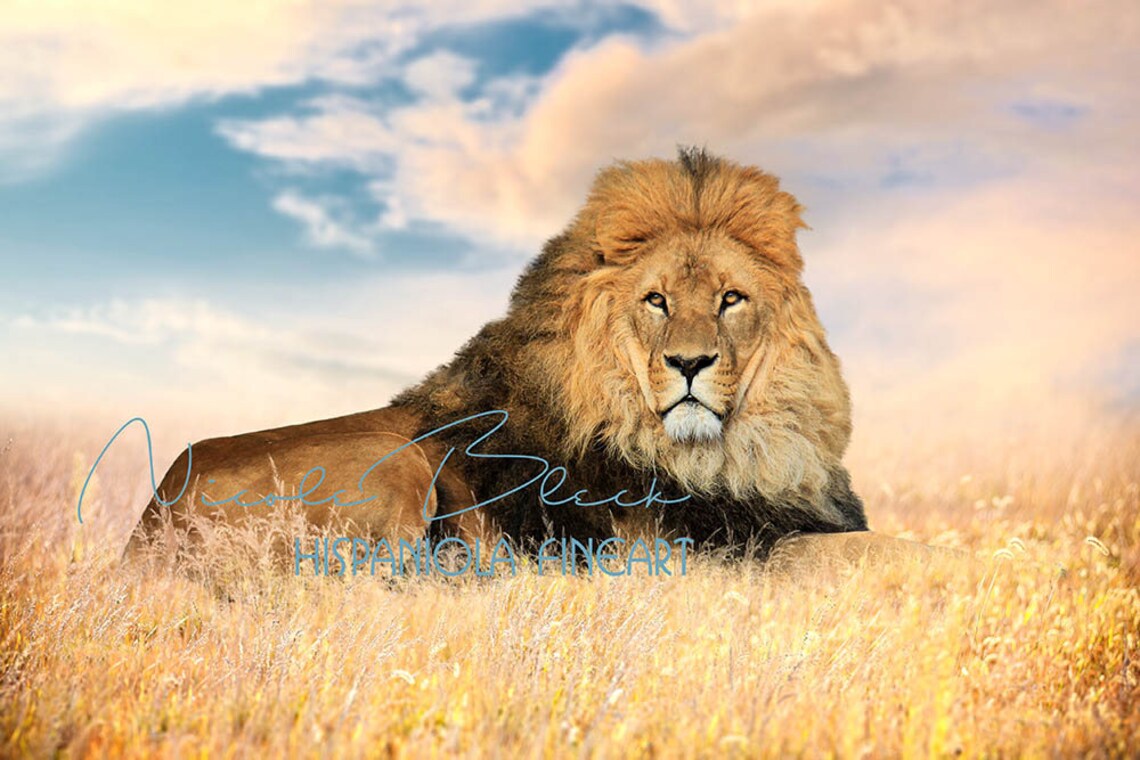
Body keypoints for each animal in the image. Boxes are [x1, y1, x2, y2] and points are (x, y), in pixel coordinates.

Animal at [125, 148, 899, 569]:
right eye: (655, 301)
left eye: (731, 299)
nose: (689, 364)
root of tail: (149, 524)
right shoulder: (701, 550)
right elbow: (876, 549)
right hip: (398, 464)